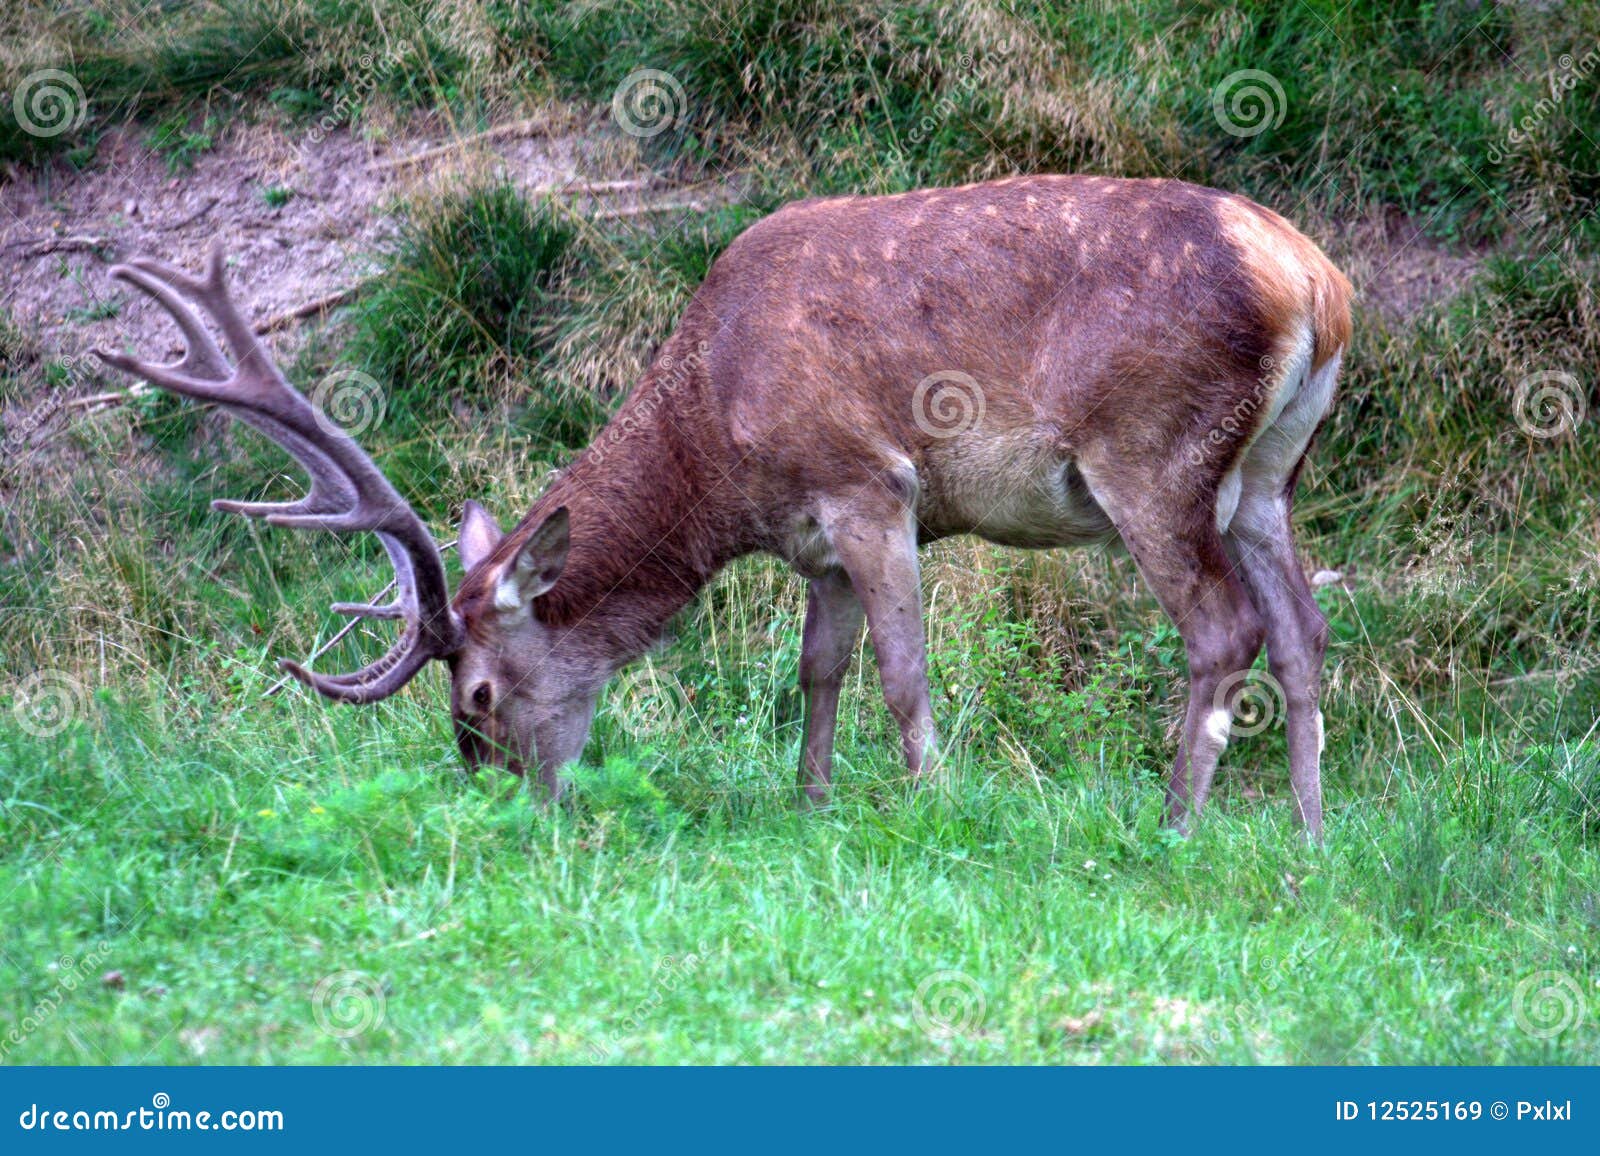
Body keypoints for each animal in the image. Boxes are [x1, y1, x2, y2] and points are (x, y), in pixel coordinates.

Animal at [94, 174, 1351, 838]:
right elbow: (817, 668)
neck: (717, 445)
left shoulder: (870, 484)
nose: (504, 800)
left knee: (1224, 627)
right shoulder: (817, 539)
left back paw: (1172, 823)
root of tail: (1315, 281)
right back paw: (1306, 828)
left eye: (482, 694)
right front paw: (811, 805)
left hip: (1148, 451)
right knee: (1304, 629)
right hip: (1267, 473)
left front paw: (930, 806)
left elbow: (903, 668)